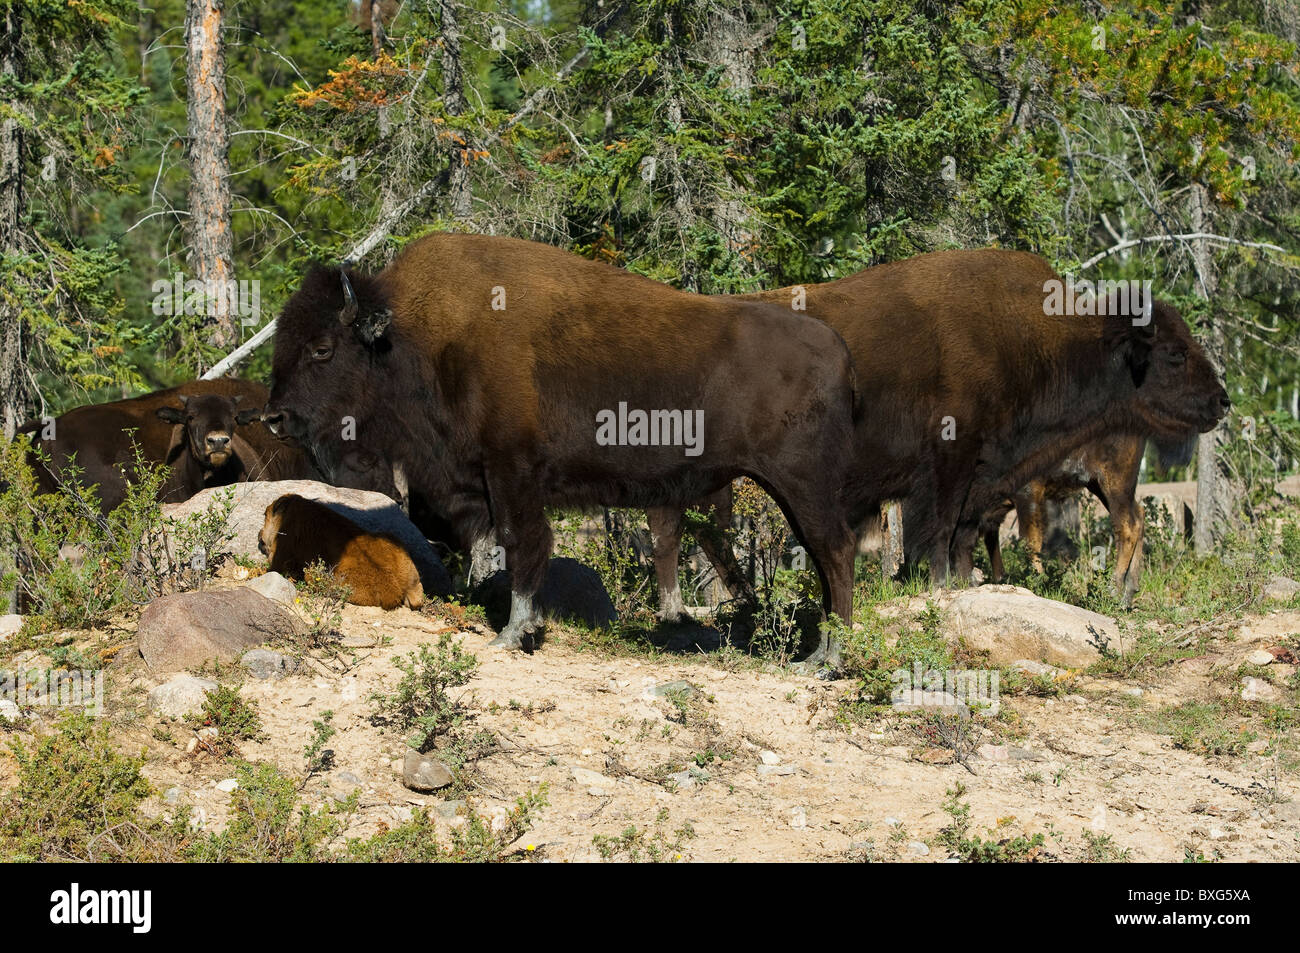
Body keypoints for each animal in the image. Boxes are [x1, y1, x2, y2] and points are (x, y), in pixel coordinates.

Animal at [265, 233, 865, 665]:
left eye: (322, 348)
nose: (274, 417)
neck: (409, 339)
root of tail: (839, 351)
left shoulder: (511, 472)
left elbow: (522, 543)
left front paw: (512, 633)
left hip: (801, 483)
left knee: (834, 552)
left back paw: (827, 660)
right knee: (824, 556)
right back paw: (822, 652)